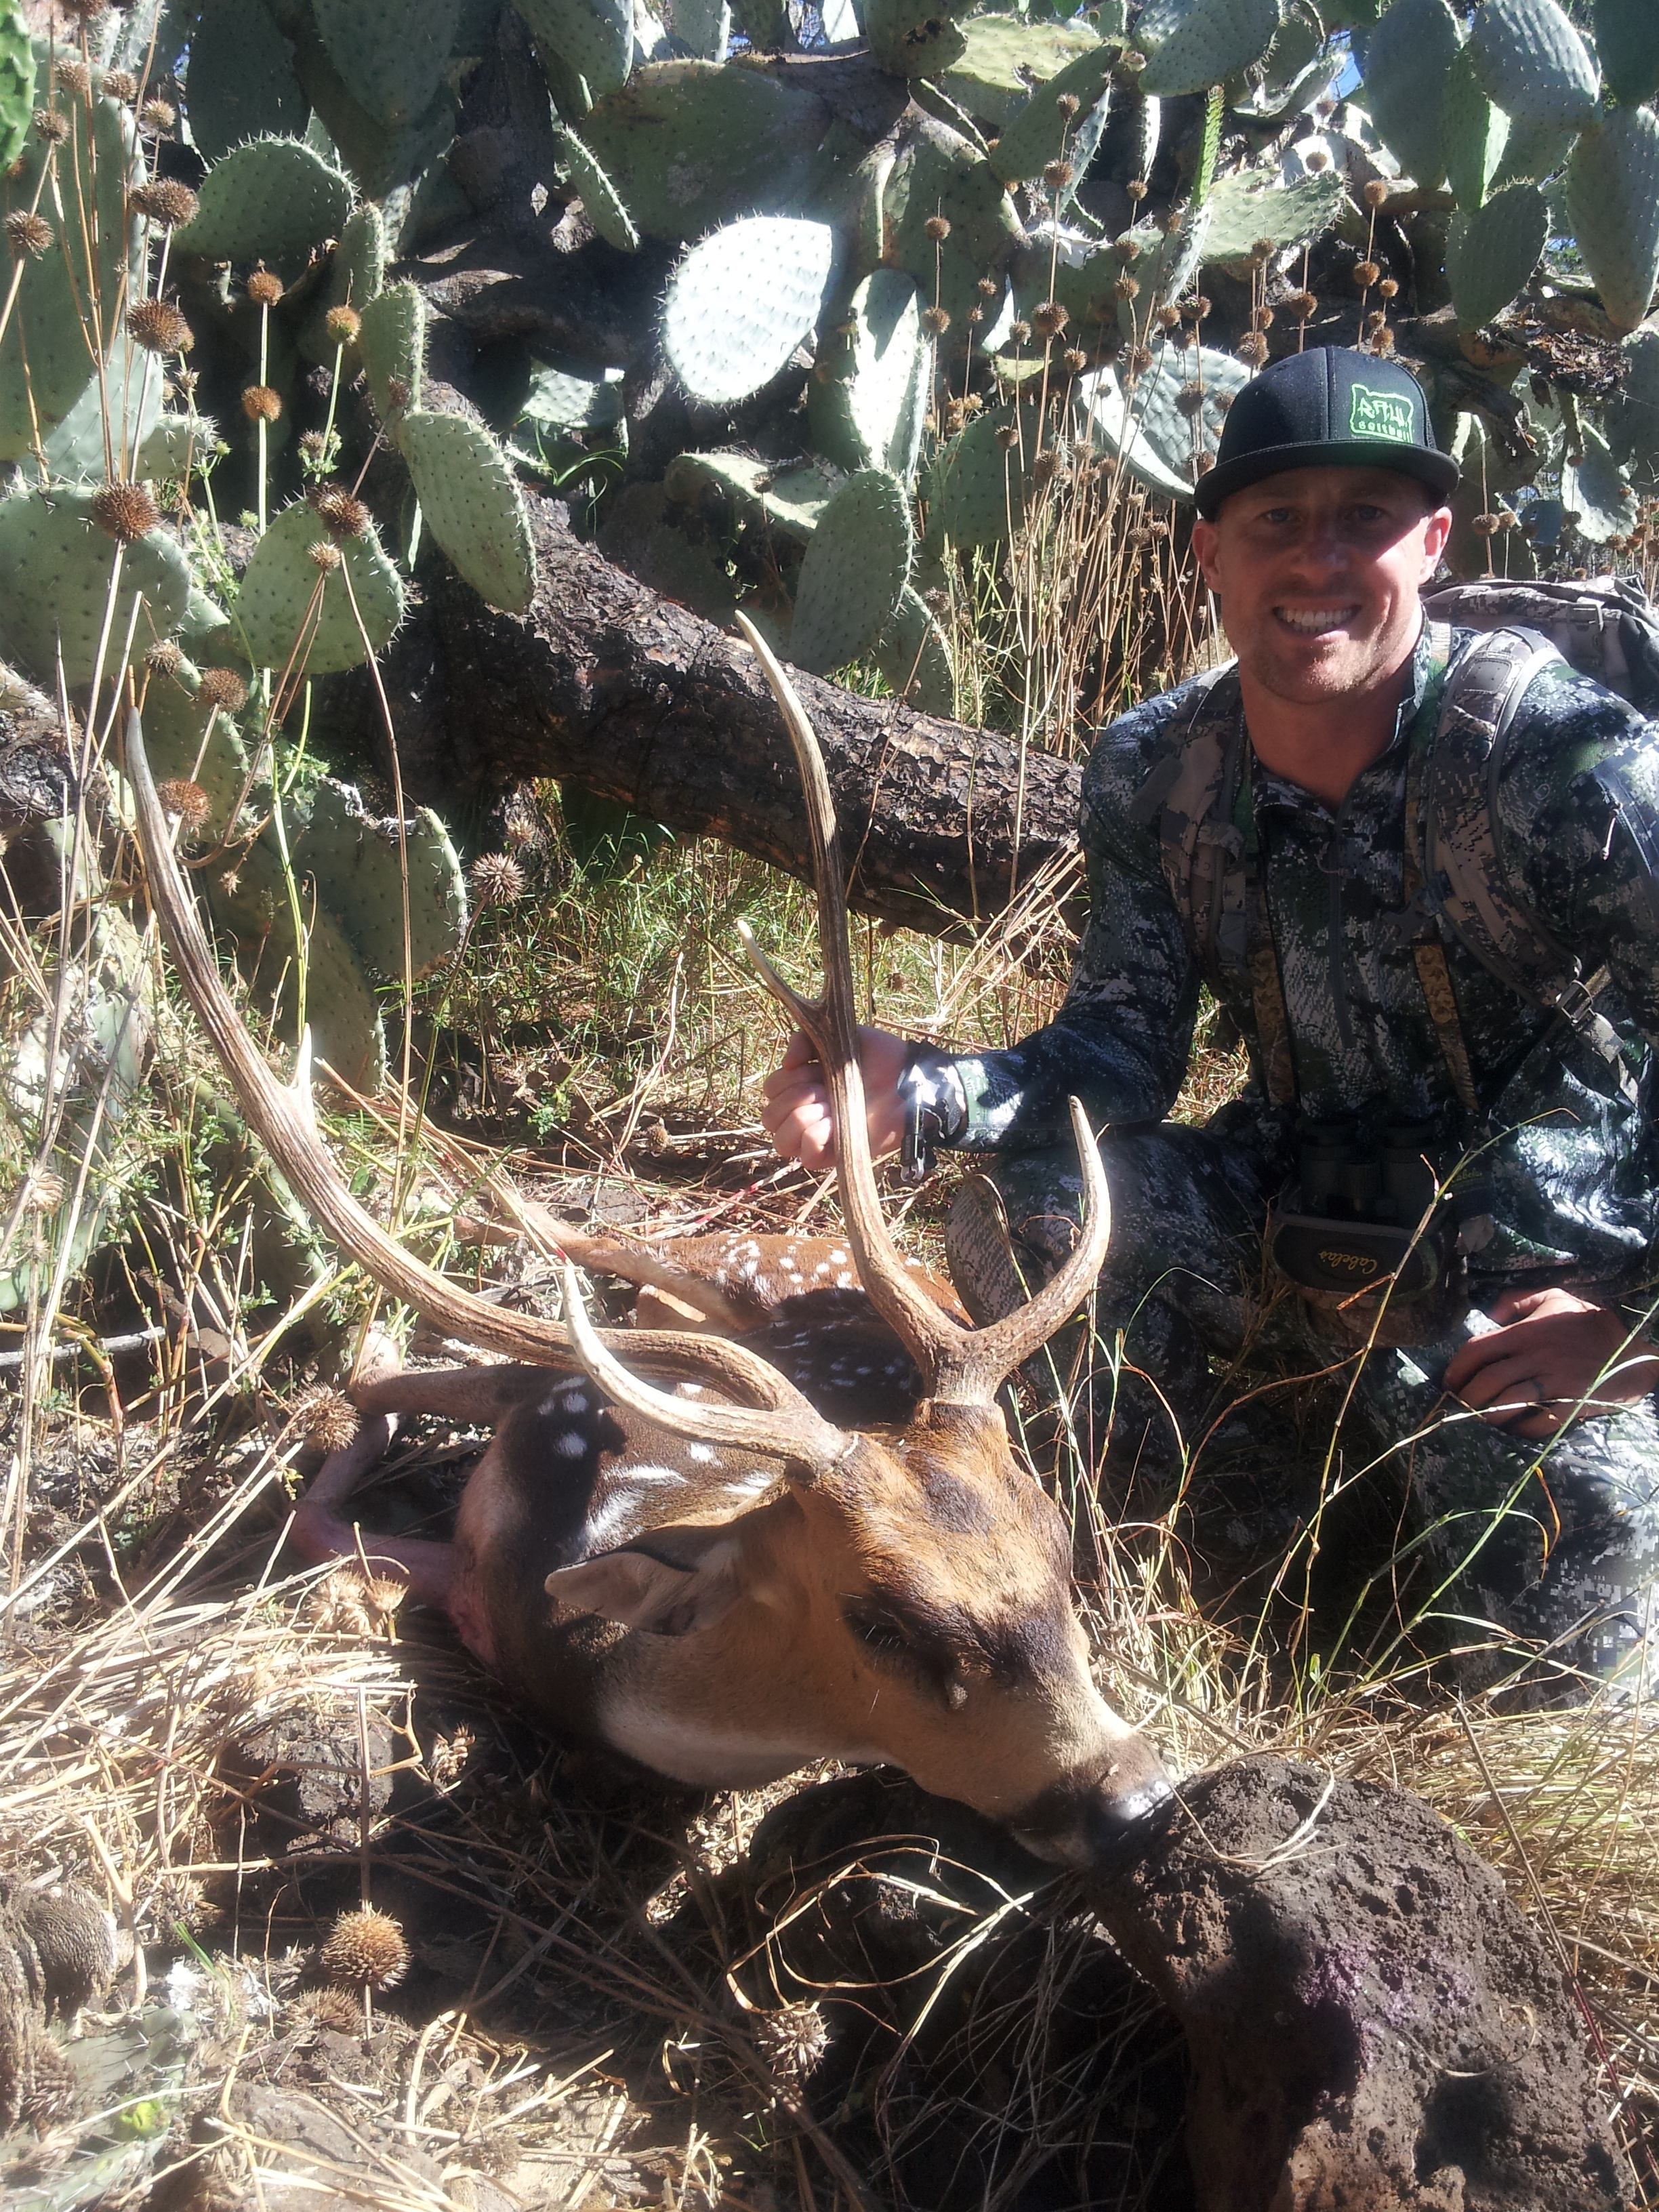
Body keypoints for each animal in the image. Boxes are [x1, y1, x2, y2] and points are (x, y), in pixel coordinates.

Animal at [125, 621, 1172, 1867]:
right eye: (879, 1620)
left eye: (1060, 1547)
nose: (1134, 1795)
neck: (606, 1676)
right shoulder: (544, 1429)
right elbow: (349, 1456)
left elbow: (340, 1490)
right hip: (681, 1299)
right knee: (536, 1288)